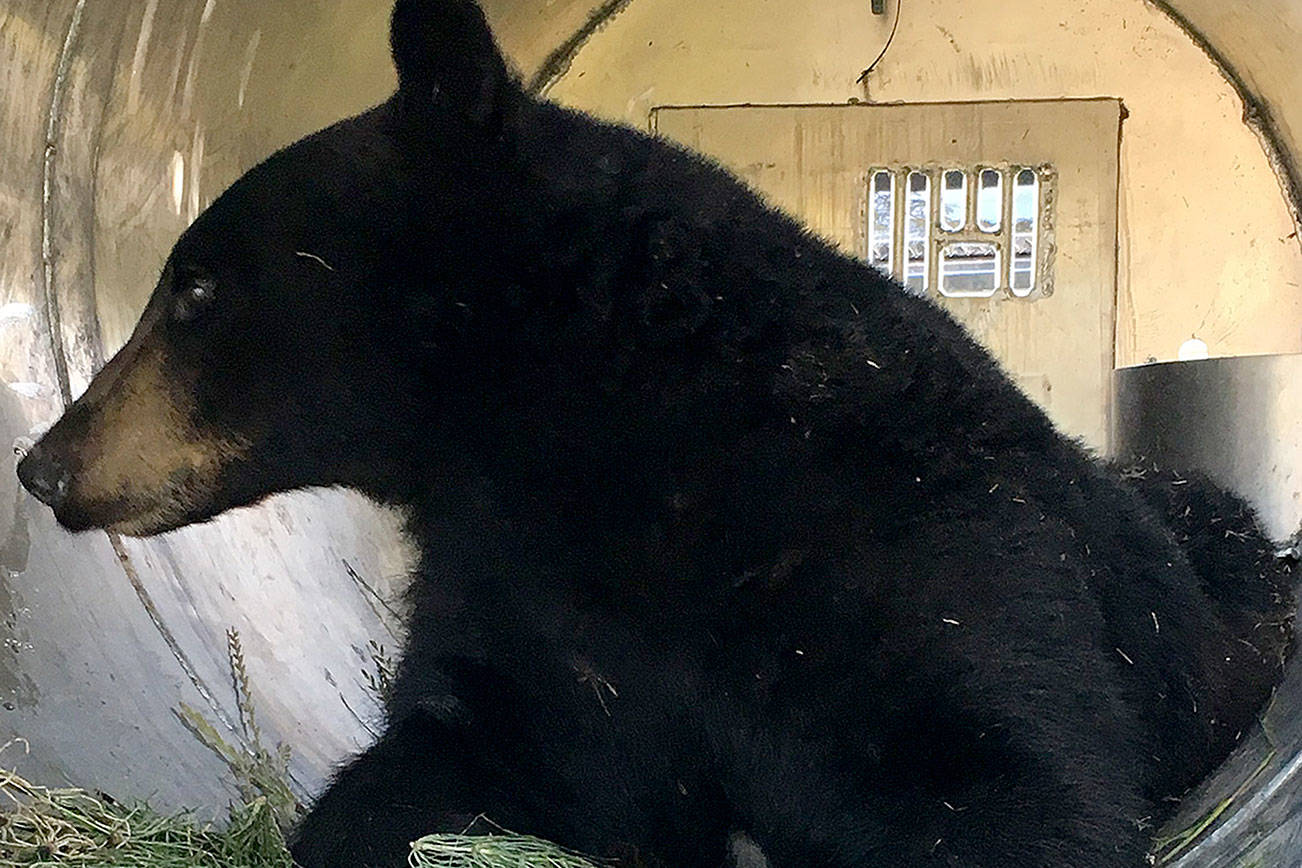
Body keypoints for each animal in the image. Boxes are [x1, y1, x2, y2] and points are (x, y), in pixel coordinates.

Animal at [16, 1, 1296, 865]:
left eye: (194, 288)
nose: (42, 462)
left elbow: (1010, 773)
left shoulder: (912, 546)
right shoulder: (527, 599)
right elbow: (471, 748)